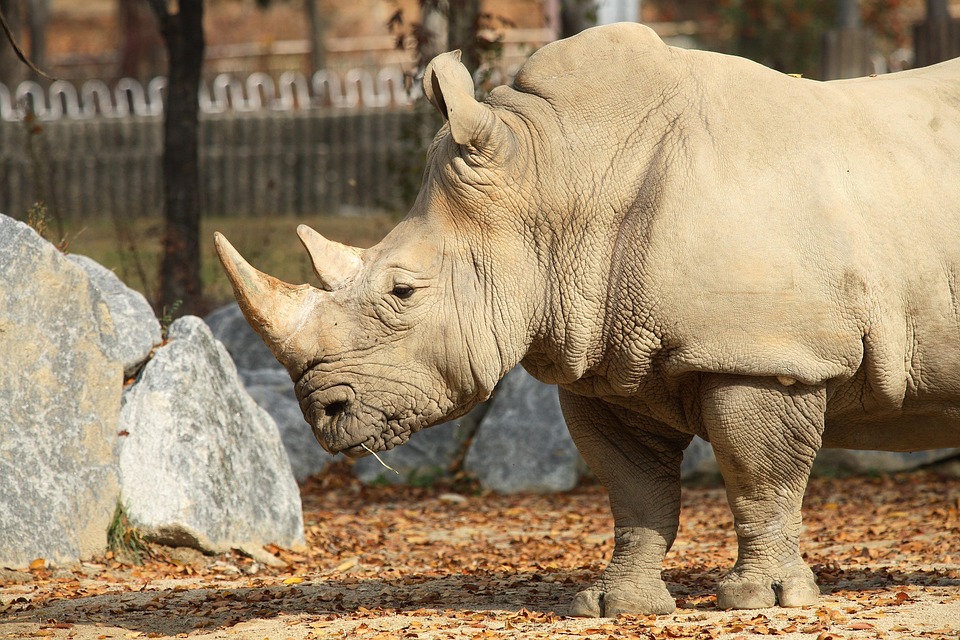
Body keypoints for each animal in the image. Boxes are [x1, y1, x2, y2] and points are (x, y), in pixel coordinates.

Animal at [214, 23, 960, 615]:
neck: (556, 173)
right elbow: (633, 491)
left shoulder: (765, 353)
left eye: (403, 292)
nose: (323, 414)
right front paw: (614, 606)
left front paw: (765, 600)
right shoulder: (610, 357)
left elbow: (760, 478)